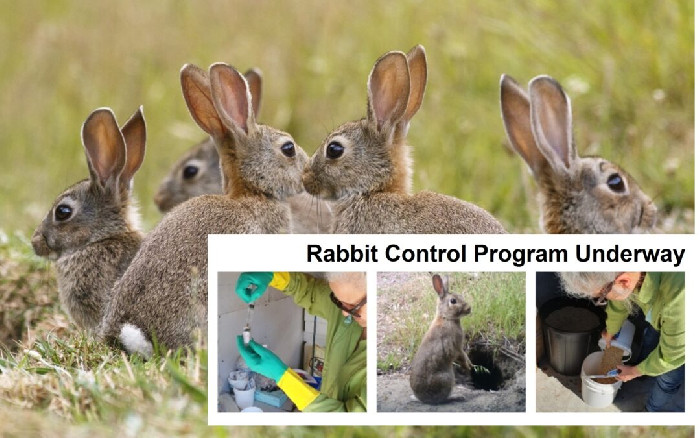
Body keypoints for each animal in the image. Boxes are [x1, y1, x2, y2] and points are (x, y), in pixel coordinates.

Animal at [409, 274, 472, 404]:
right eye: (453, 301)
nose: (469, 308)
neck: (446, 318)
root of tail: (424, 399)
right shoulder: (457, 346)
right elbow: (461, 355)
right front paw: (467, 366)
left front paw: (470, 364)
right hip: (447, 378)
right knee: (443, 399)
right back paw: (457, 396)